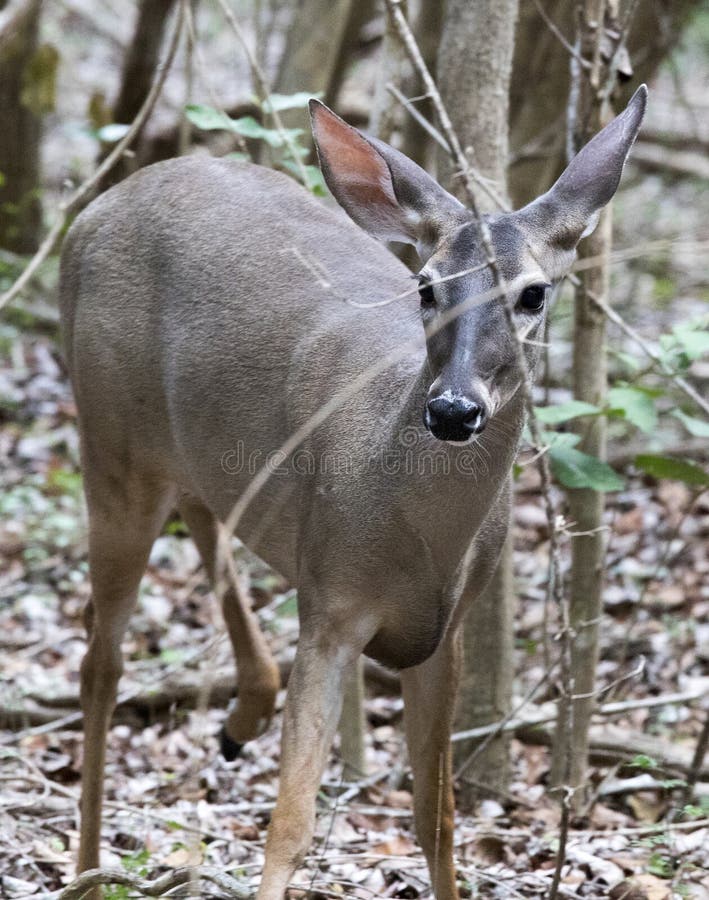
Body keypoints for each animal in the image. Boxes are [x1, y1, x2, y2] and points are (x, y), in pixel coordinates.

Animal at [58, 85, 646, 899]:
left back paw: (242, 714)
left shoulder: (444, 632)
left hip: (196, 449)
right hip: (110, 443)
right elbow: (290, 825)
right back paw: (86, 867)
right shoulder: (331, 607)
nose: (452, 409)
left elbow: (437, 818)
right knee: (101, 659)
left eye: (533, 293)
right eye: (426, 285)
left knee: (203, 510)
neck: (415, 529)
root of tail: (86, 219)